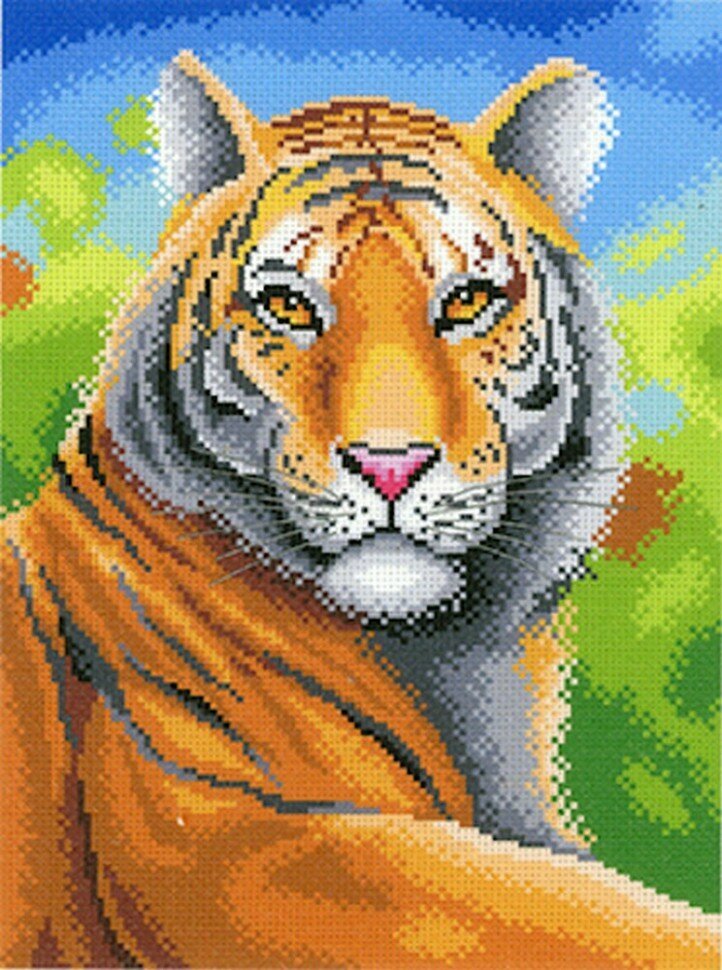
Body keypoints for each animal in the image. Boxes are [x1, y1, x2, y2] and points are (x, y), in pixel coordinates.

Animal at [2, 51, 718, 968]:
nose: (389, 464)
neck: (458, 653)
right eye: (289, 306)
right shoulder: (211, 841)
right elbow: (564, 912)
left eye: (466, 302)